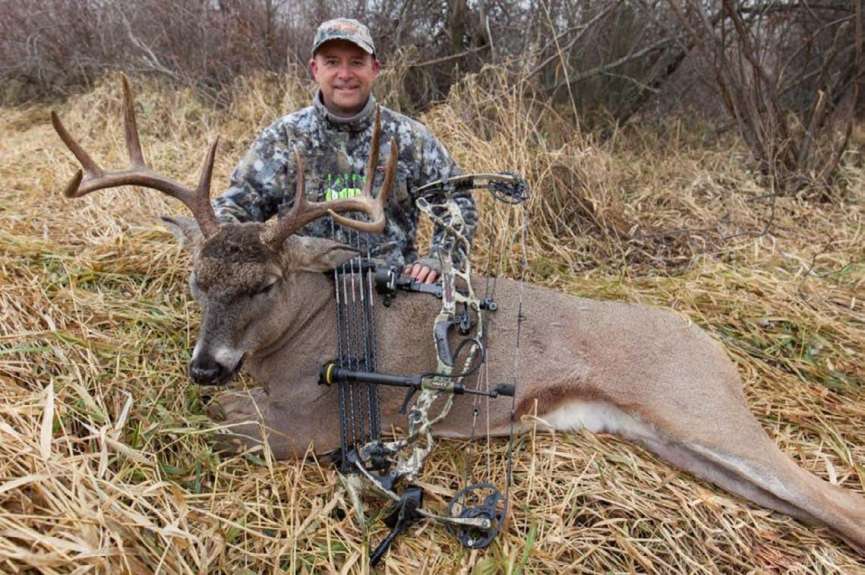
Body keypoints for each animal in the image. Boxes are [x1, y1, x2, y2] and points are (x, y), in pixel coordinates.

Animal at [51, 78, 865, 557]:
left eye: (265, 283)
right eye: (198, 281)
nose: (206, 363)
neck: (304, 332)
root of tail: (716, 347)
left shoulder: (311, 422)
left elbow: (213, 421)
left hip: (697, 405)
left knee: (834, 497)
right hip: (674, 440)